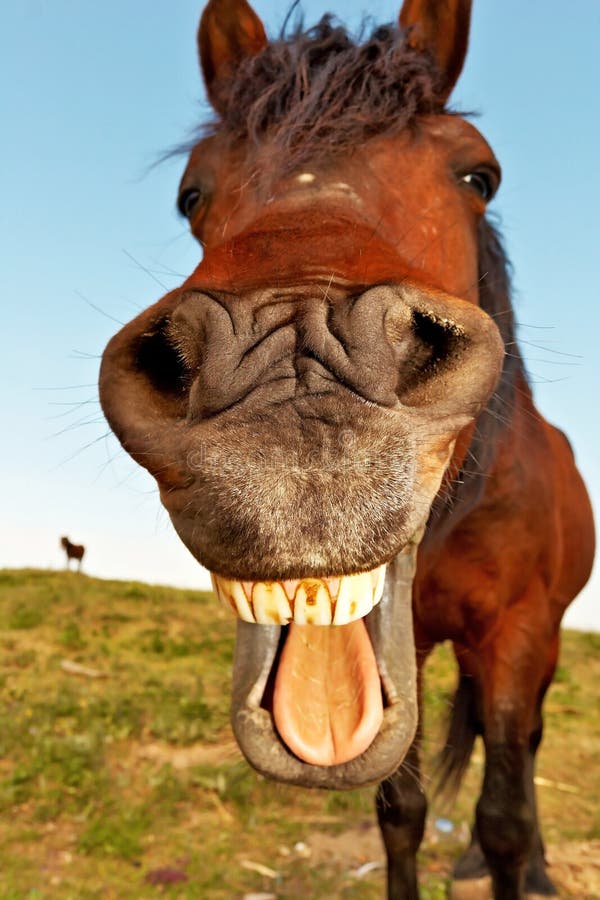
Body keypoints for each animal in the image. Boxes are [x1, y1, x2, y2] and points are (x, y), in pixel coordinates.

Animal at [99, 1, 595, 896]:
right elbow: (400, 811)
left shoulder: (519, 632)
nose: (292, 395)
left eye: (480, 176)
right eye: (191, 194)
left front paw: (518, 861)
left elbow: (504, 816)